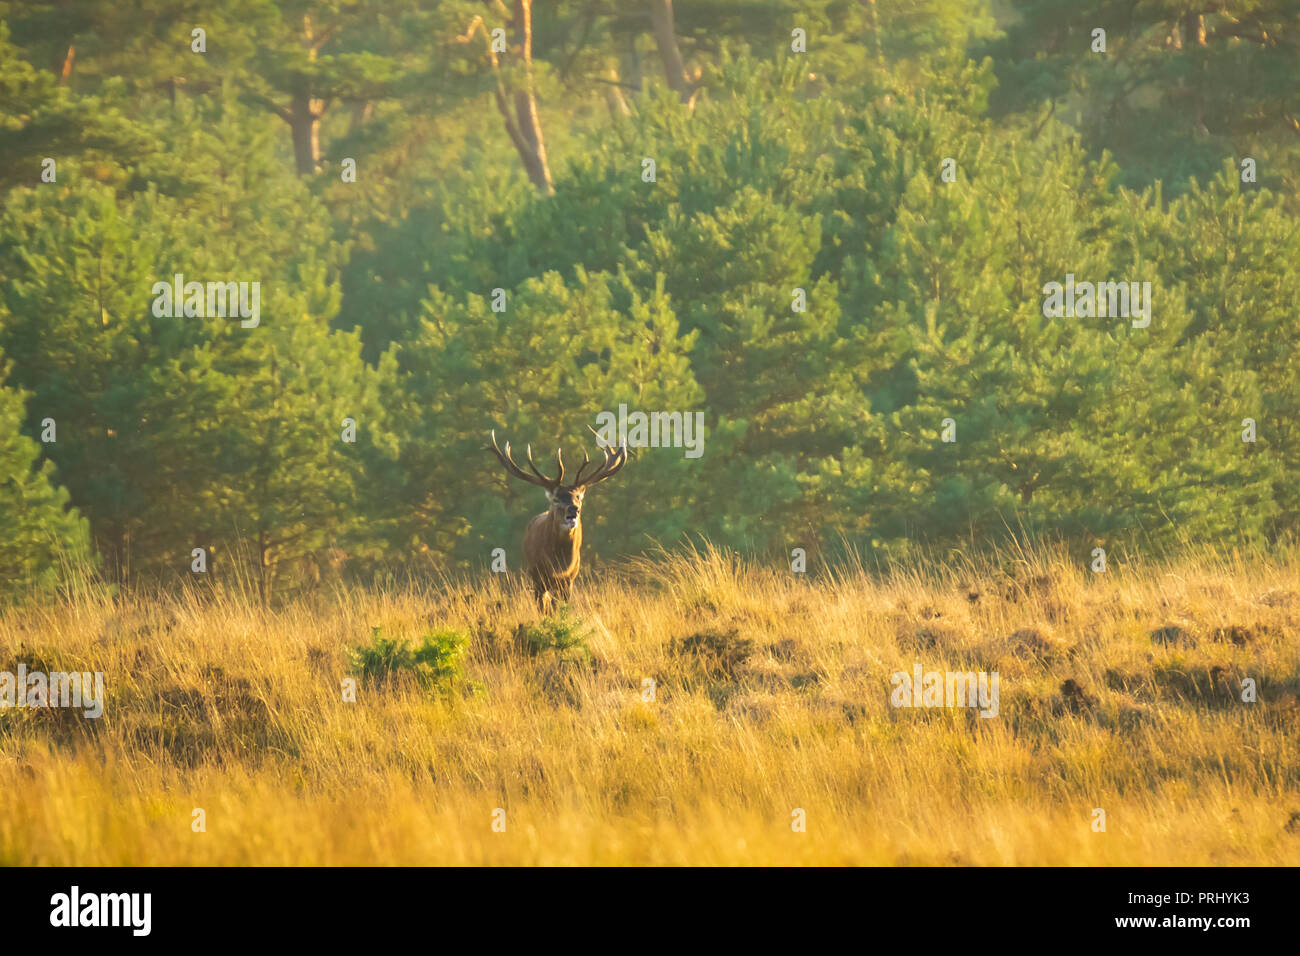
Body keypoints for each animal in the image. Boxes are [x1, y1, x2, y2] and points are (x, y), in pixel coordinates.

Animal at [488, 426, 628, 609]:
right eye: (556, 499)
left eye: (579, 498)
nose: (573, 510)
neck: (559, 566)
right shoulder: (538, 577)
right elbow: (543, 608)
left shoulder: (569, 579)